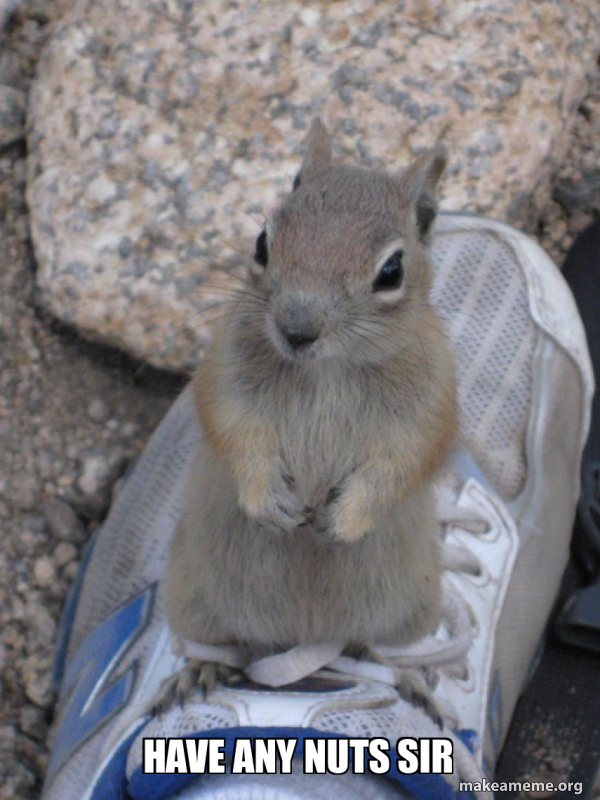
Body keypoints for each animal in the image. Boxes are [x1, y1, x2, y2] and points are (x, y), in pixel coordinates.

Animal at [161, 118, 457, 705]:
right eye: (262, 241)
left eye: (392, 271)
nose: (296, 328)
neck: (327, 369)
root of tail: (306, 633)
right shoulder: (227, 377)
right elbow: (236, 434)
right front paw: (268, 500)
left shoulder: (428, 407)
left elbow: (401, 464)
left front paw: (345, 519)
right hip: (190, 597)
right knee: (228, 646)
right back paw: (199, 671)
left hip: (412, 609)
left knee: (366, 645)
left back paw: (404, 677)